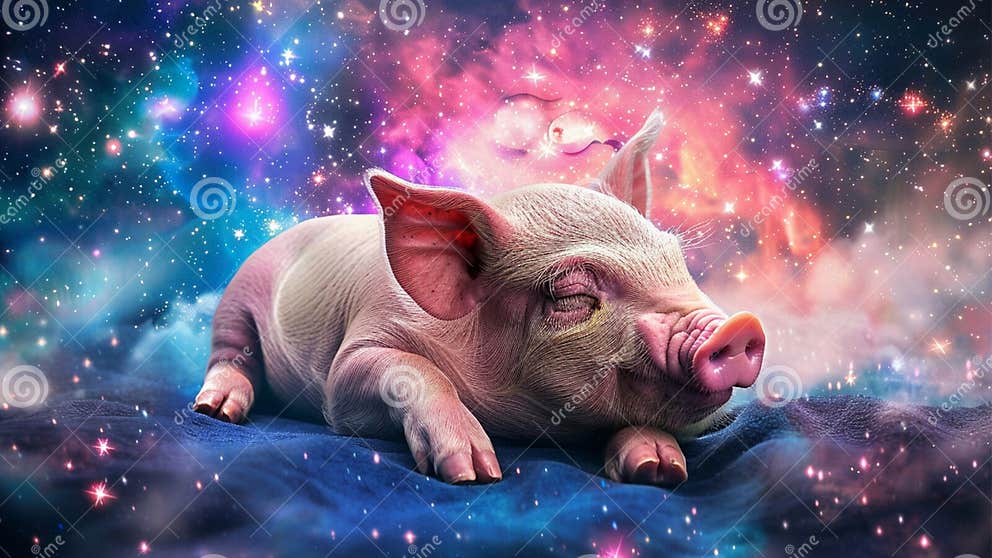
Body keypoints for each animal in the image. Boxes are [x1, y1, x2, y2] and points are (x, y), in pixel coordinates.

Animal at [194, 109, 765, 486]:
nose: (741, 327)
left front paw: (659, 469)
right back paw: (217, 410)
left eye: (677, 260)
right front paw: (473, 472)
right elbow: (401, 371)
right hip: (237, 298)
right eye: (571, 294)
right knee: (229, 354)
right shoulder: (357, 352)